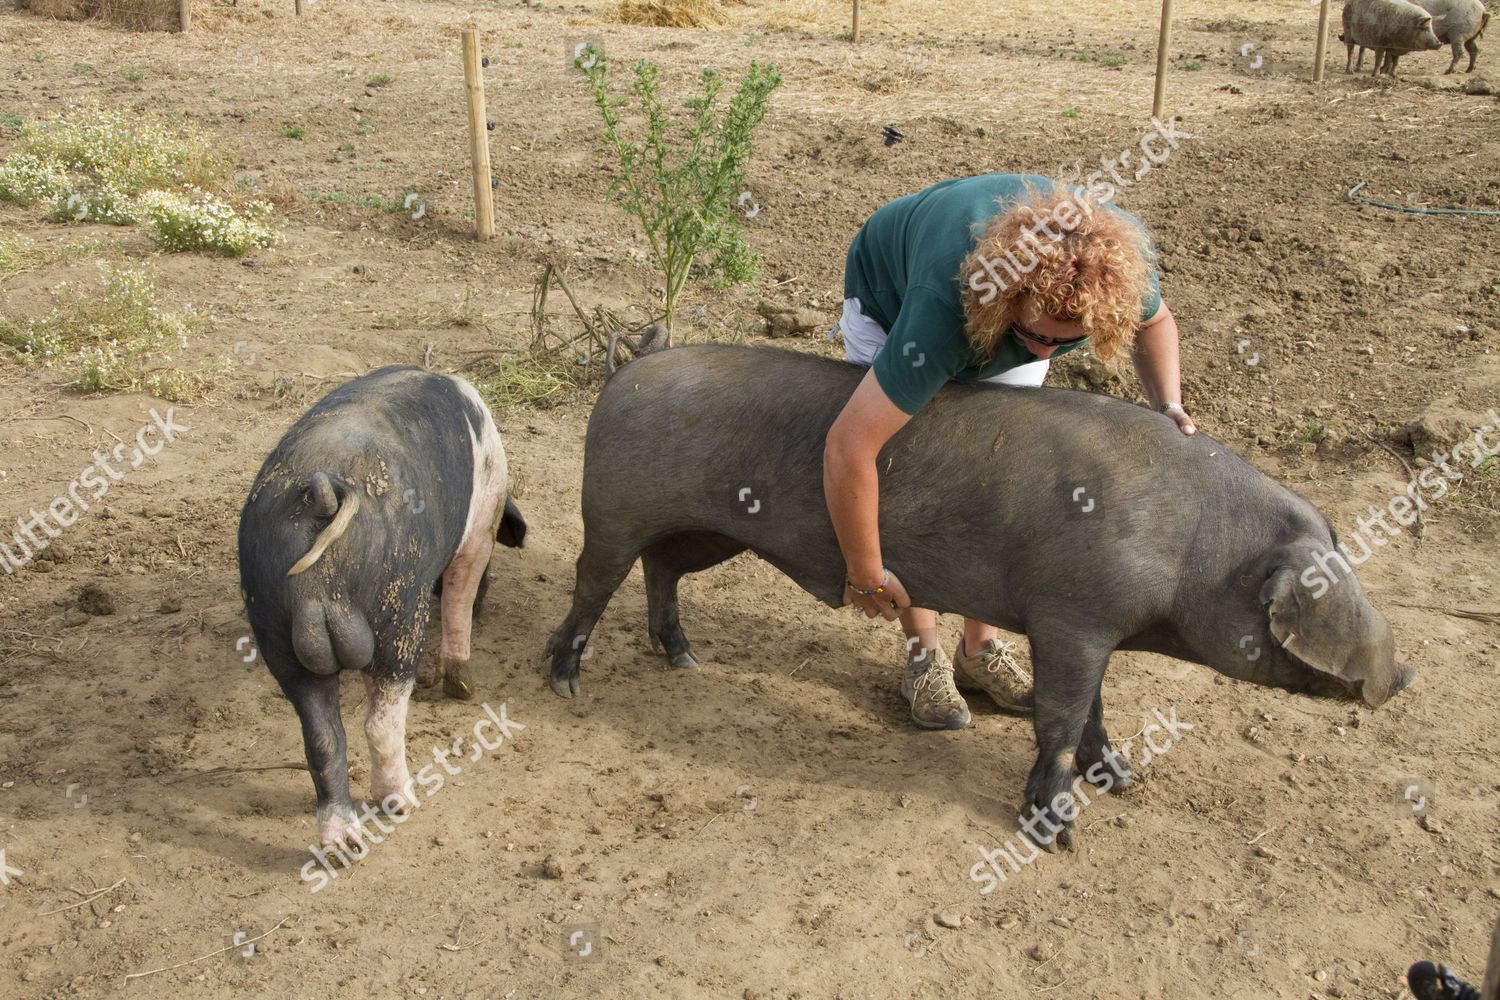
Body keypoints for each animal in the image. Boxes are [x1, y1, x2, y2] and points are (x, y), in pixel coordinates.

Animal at [239, 366, 526, 850]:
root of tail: (324, 495)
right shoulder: (478, 531)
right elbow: (460, 598)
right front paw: (464, 688)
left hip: (275, 625)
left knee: (322, 737)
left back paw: (341, 845)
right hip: (398, 614)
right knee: (381, 720)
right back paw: (402, 803)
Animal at [543, 345, 1414, 850]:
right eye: (1330, 576)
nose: (1404, 675)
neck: (1197, 550)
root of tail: (623, 373)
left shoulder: (1091, 627)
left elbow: (1093, 711)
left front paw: (1123, 779)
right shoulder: (1072, 617)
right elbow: (1060, 720)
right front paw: (1058, 836)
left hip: (708, 531)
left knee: (661, 570)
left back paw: (685, 660)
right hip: (613, 508)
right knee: (593, 580)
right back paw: (566, 683)